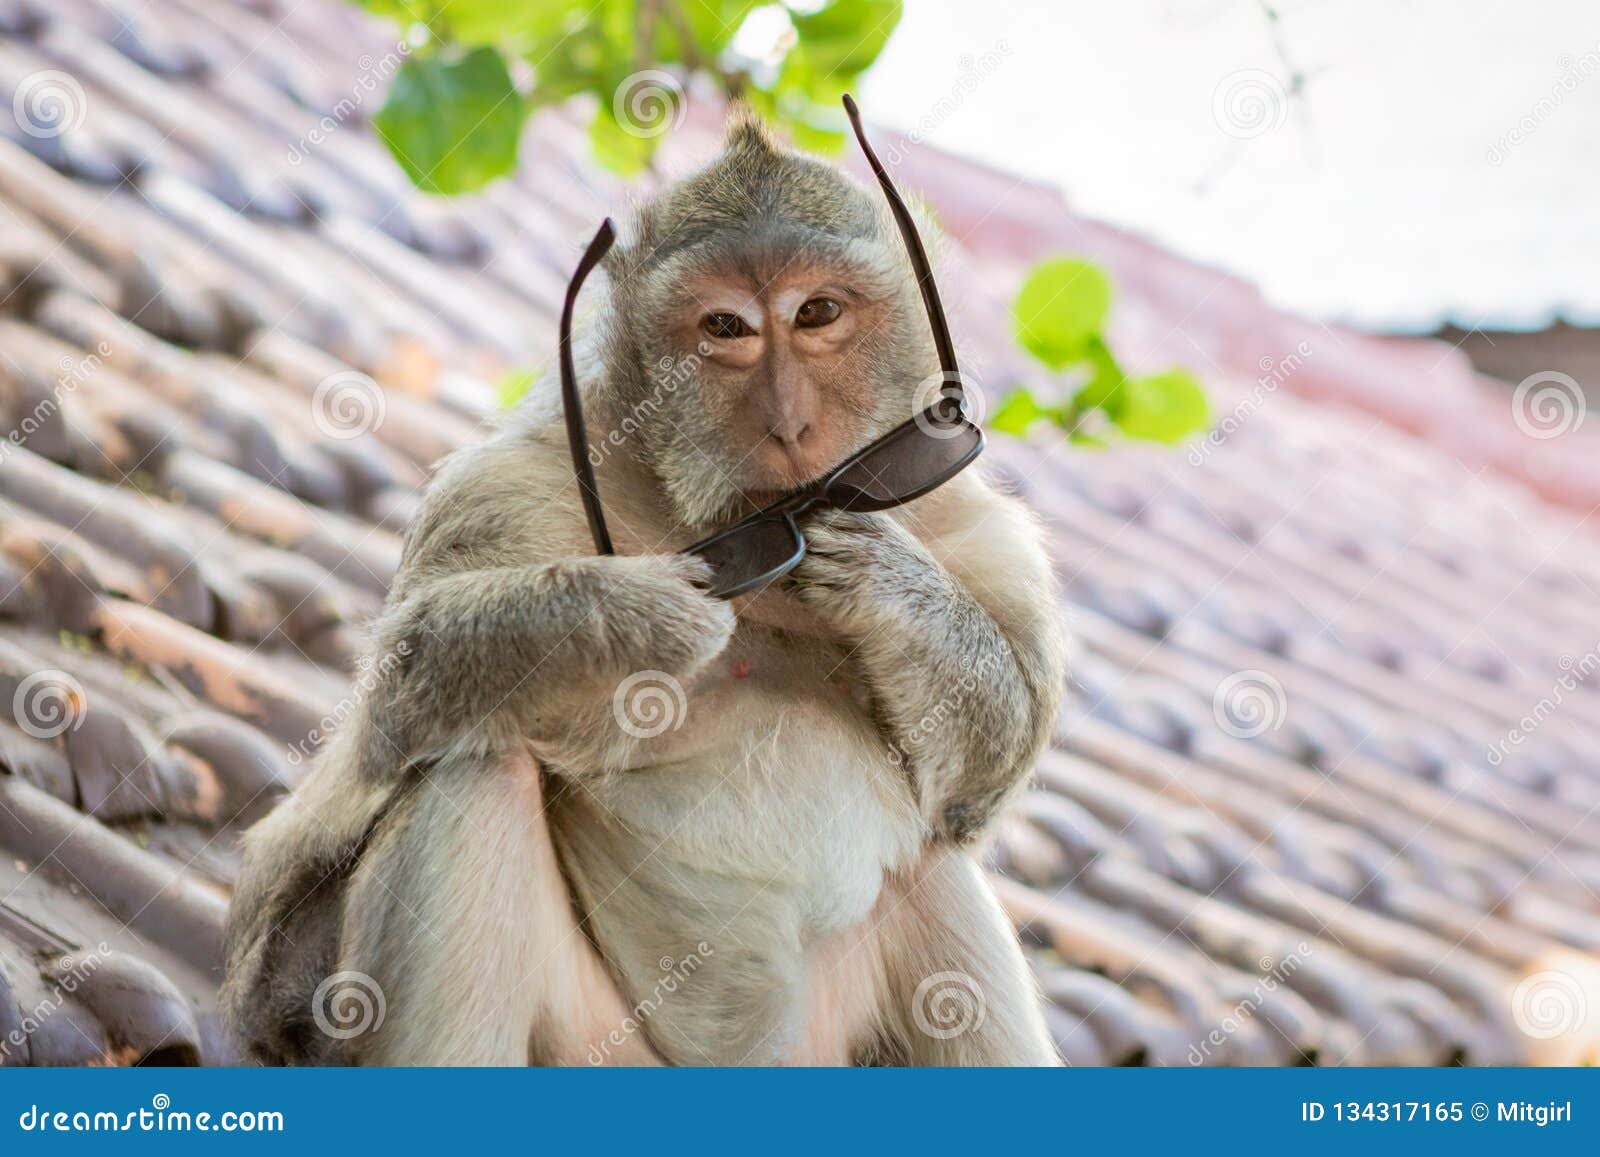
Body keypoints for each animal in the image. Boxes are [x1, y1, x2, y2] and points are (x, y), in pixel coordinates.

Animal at [221, 107, 1065, 1067]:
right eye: (727, 327)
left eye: (817, 312)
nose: (789, 421)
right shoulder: (513, 484)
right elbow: (399, 692)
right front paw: (627, 613)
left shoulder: (986, 535)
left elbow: (983, 782)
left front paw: (890, 584)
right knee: (474, 778)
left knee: (935, 873)